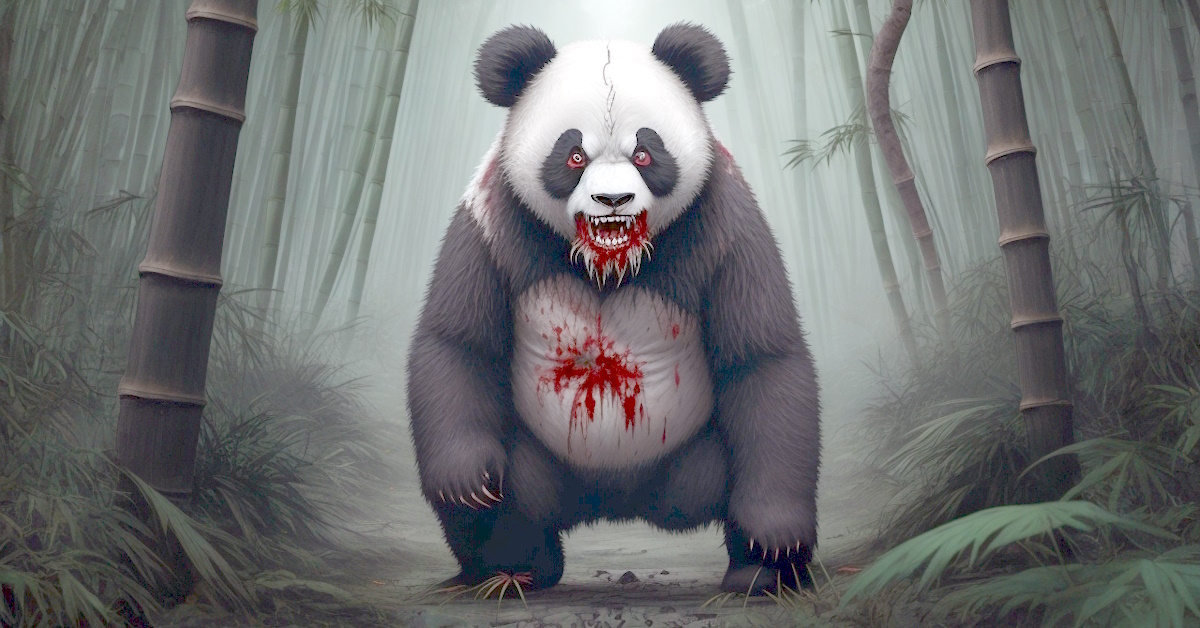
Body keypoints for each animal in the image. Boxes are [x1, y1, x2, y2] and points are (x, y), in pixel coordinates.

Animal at [407, 22, 821, 595]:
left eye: (645, 152)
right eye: (573, 155)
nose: (613, 201)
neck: (609, 264)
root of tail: (615, 501)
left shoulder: (724, 223)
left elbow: (761, 359)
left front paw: (774, 536)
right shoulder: (492, 221)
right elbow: (460, 343)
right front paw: (467, 479)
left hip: (694, 460)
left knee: (742, 451)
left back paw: (760, 572)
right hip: (537, 462)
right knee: (501, 496)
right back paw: (512, 568)